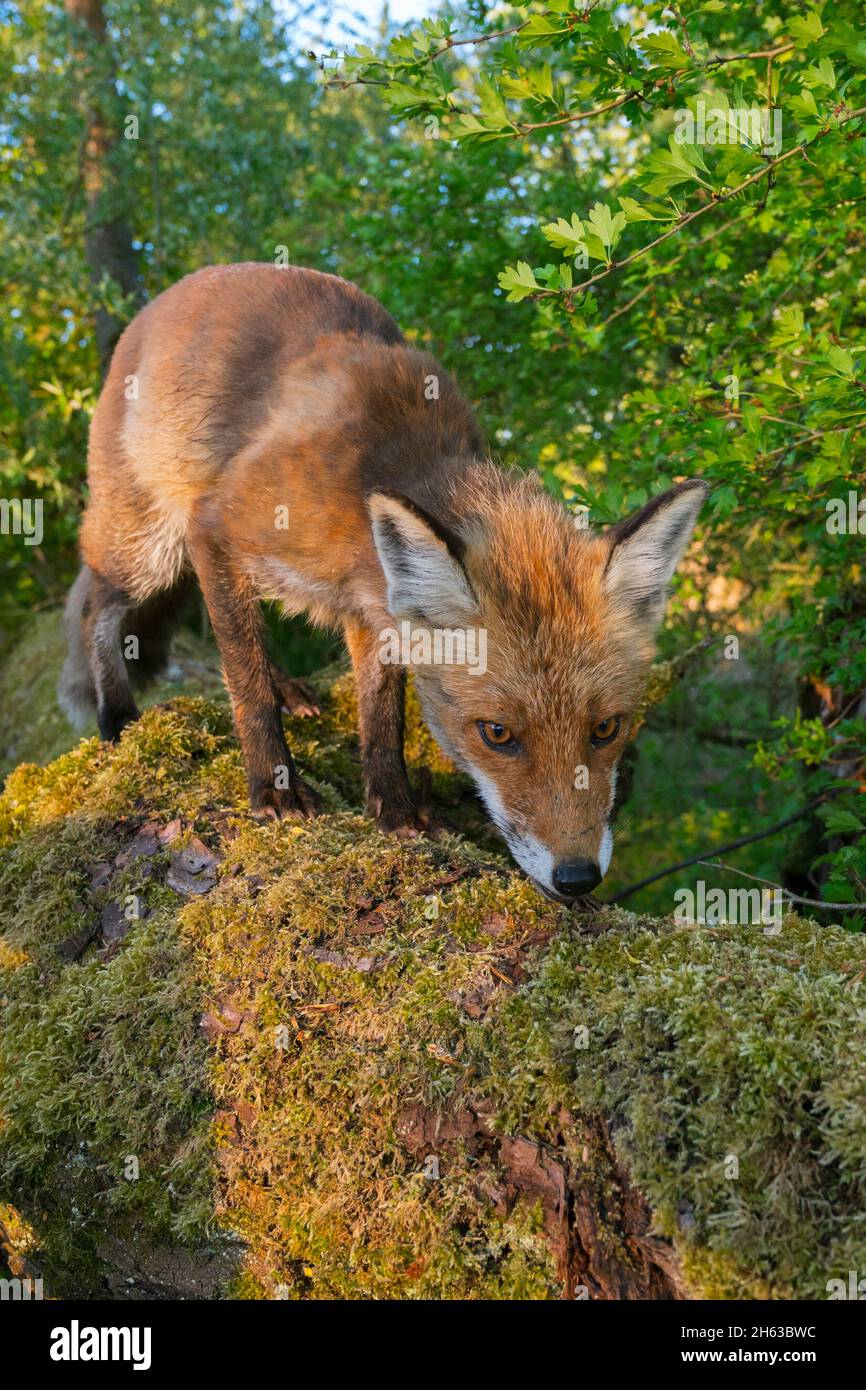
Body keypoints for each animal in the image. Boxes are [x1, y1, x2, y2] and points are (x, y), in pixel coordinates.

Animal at [59, 262, 707, 903]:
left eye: (606, 728)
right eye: (497, 733)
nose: (577, 879)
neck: (364, 477)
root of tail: (163, 300)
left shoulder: (373, 606)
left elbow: (381, 714)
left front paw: (394, 808)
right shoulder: (216, 527)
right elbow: (245, 682)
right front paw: (275, 785)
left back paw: (286, 686)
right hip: (149, 545)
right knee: (98, 607)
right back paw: (118, 715)